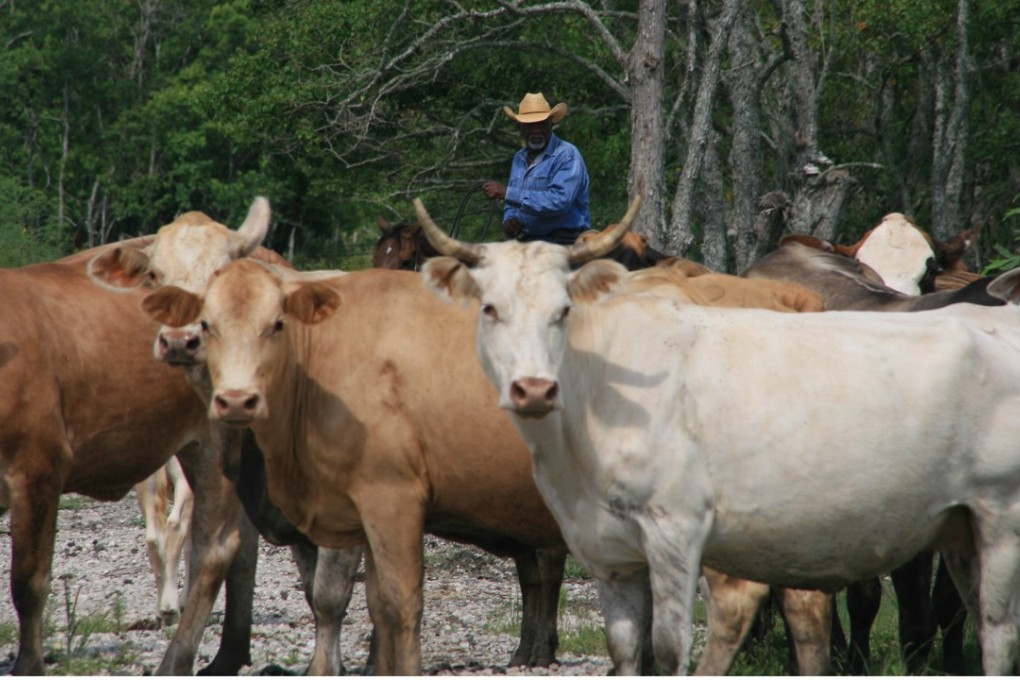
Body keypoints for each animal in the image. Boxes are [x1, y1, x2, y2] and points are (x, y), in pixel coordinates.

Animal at [416, 196, 1020, 675]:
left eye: (564, 309)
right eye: (489, 308)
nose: (533, 388)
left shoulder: (677, 532)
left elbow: (670, 643)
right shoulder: (608, 551)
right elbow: (625, 645)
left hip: (988, 520)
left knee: (986, 625)